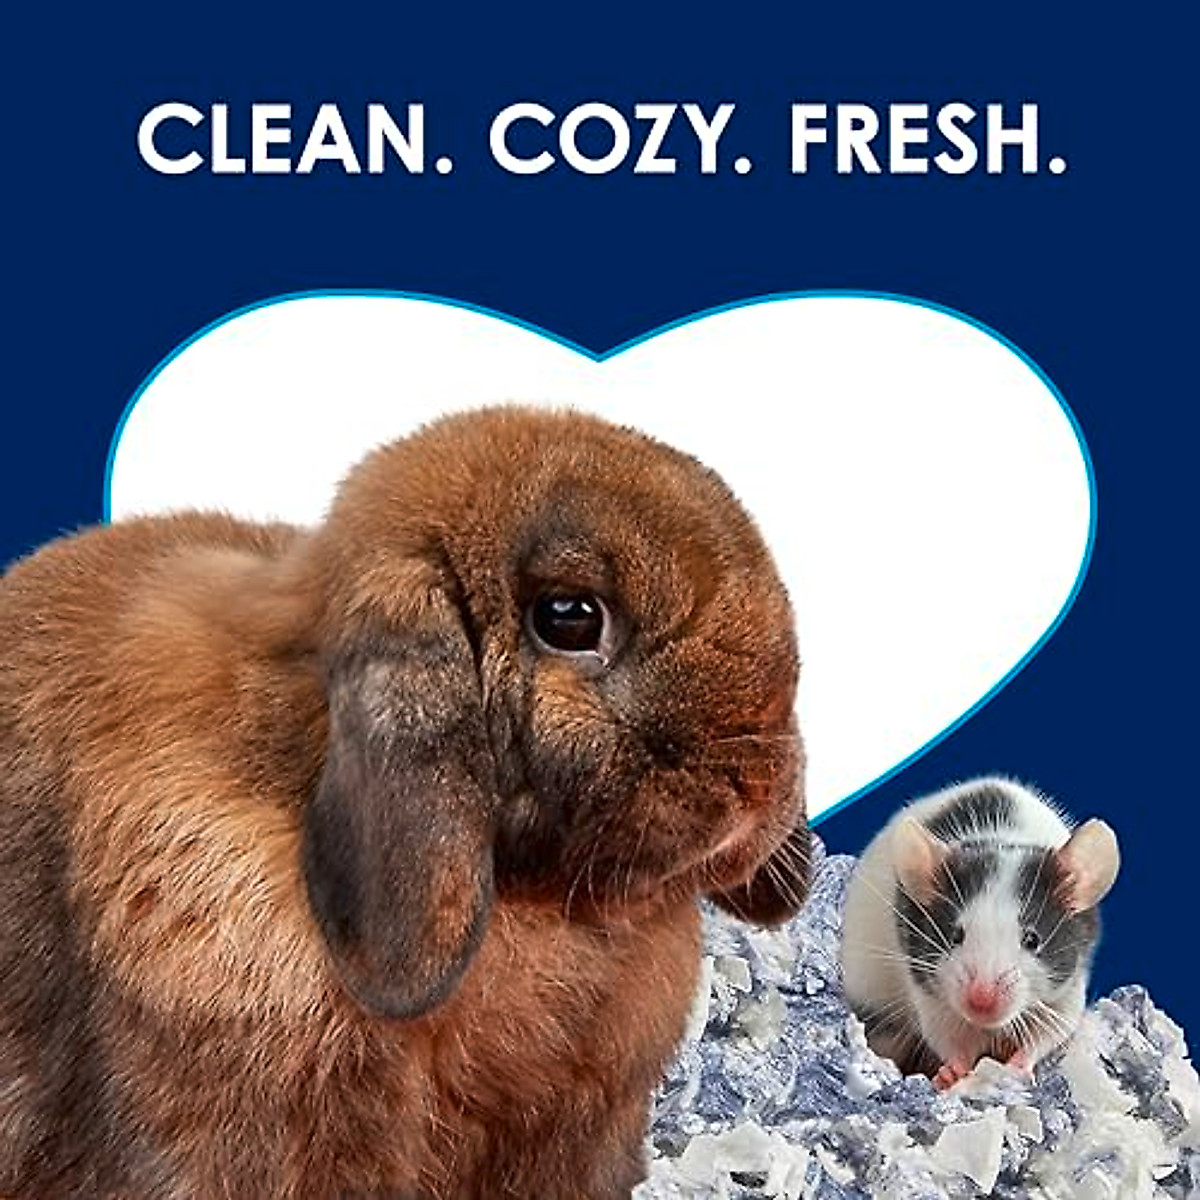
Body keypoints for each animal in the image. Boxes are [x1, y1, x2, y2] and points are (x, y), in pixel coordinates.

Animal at [841, 776, 1120, 1089]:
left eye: (1032, 939)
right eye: (955, 936)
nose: (981, 1001)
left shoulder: (1067, 989)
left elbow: (1054, 1029)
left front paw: (1020, 1065)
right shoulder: (928, 990)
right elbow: (944, 1034)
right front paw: (953, 1071)